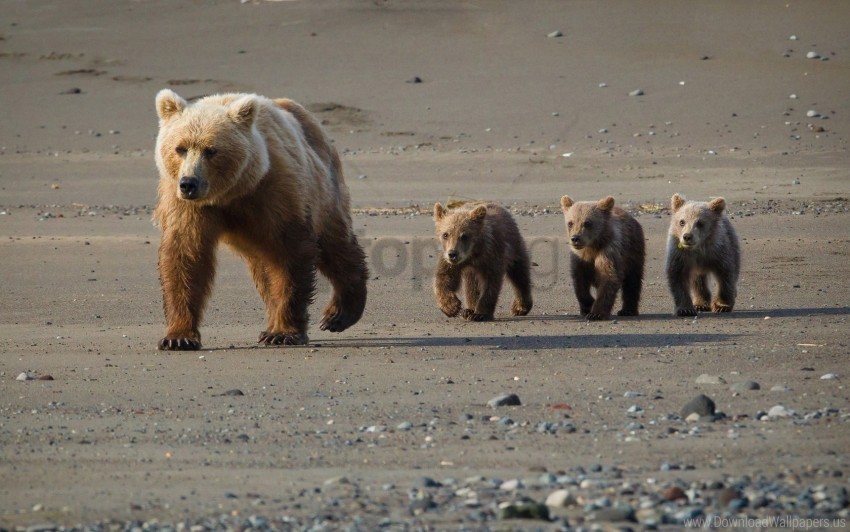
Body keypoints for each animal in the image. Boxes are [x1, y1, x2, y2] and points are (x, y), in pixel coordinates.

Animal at [153, 89, 368, 350]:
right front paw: (178, 337)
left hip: (323, 188)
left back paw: (339, 313)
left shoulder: (275, 192)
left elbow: (288, 256)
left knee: (334, 245)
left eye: (211, 150)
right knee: (264, 269)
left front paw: (283, 333)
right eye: (180, 148)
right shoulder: (187, 207)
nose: (188, 184)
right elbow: (186, 256)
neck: (231, 193)